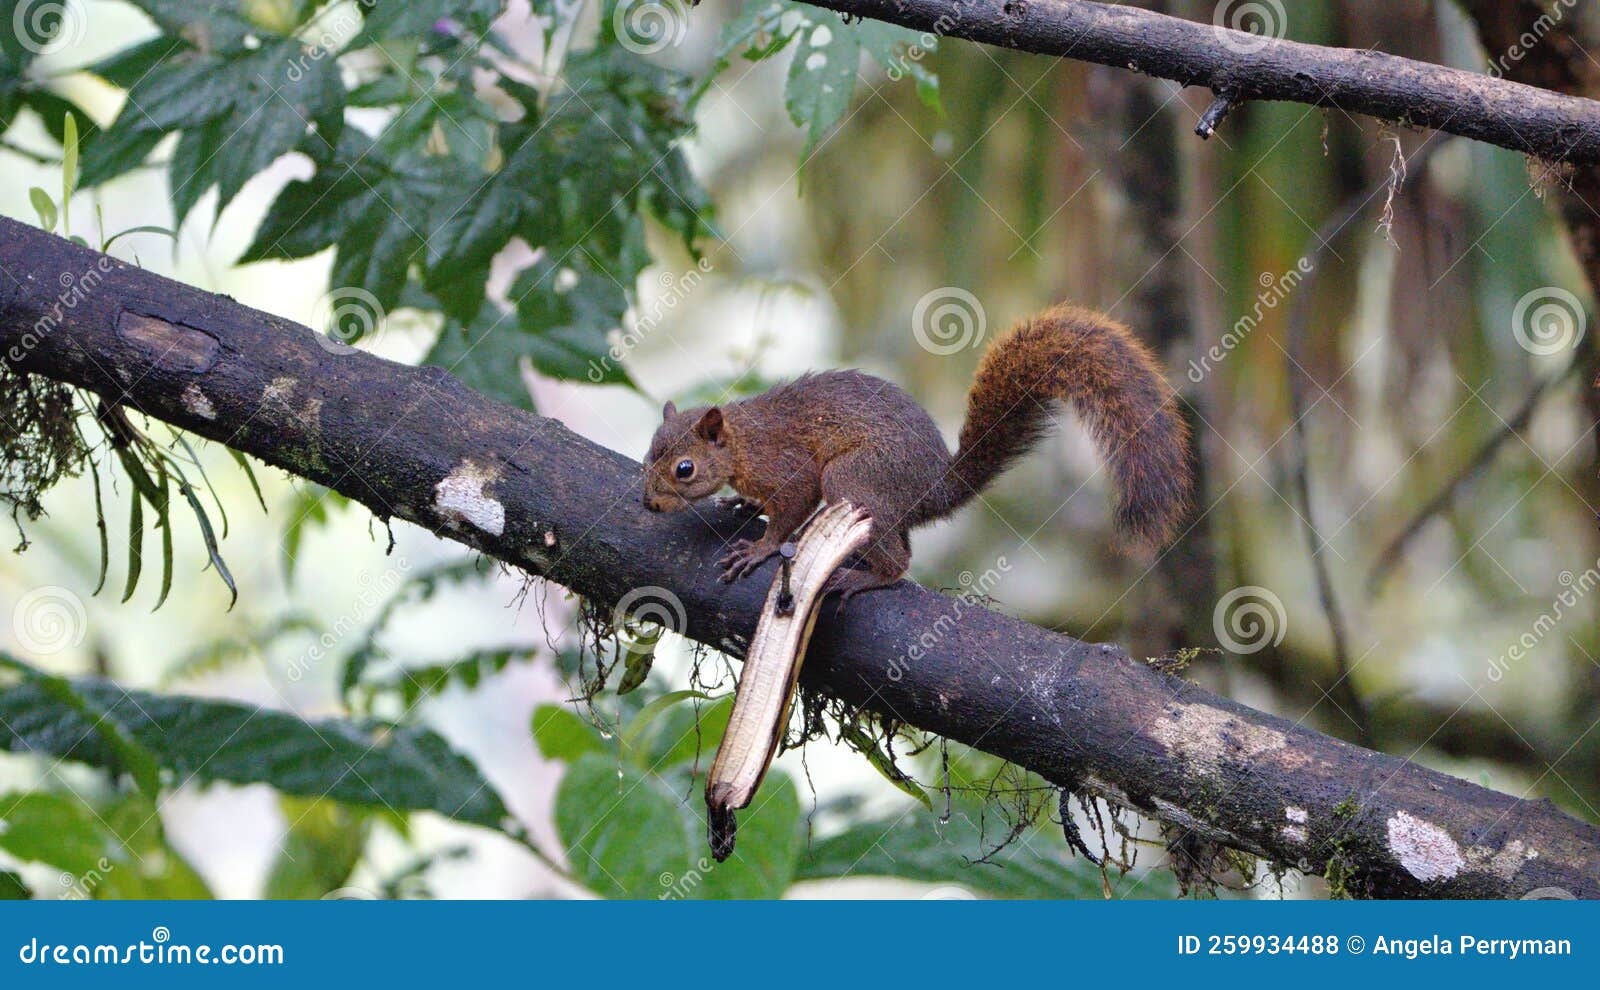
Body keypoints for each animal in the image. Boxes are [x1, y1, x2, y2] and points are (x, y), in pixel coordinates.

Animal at [642, 302, 1193, 603]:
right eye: (649, 455)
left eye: (684, 469)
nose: (648, 503)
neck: (741, 443)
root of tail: (934, 489)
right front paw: (742, 502)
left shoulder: (787, 464)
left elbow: (792, 505)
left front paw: (759, 549)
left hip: (855, 478)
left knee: (900, 560)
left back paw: (865, 577)